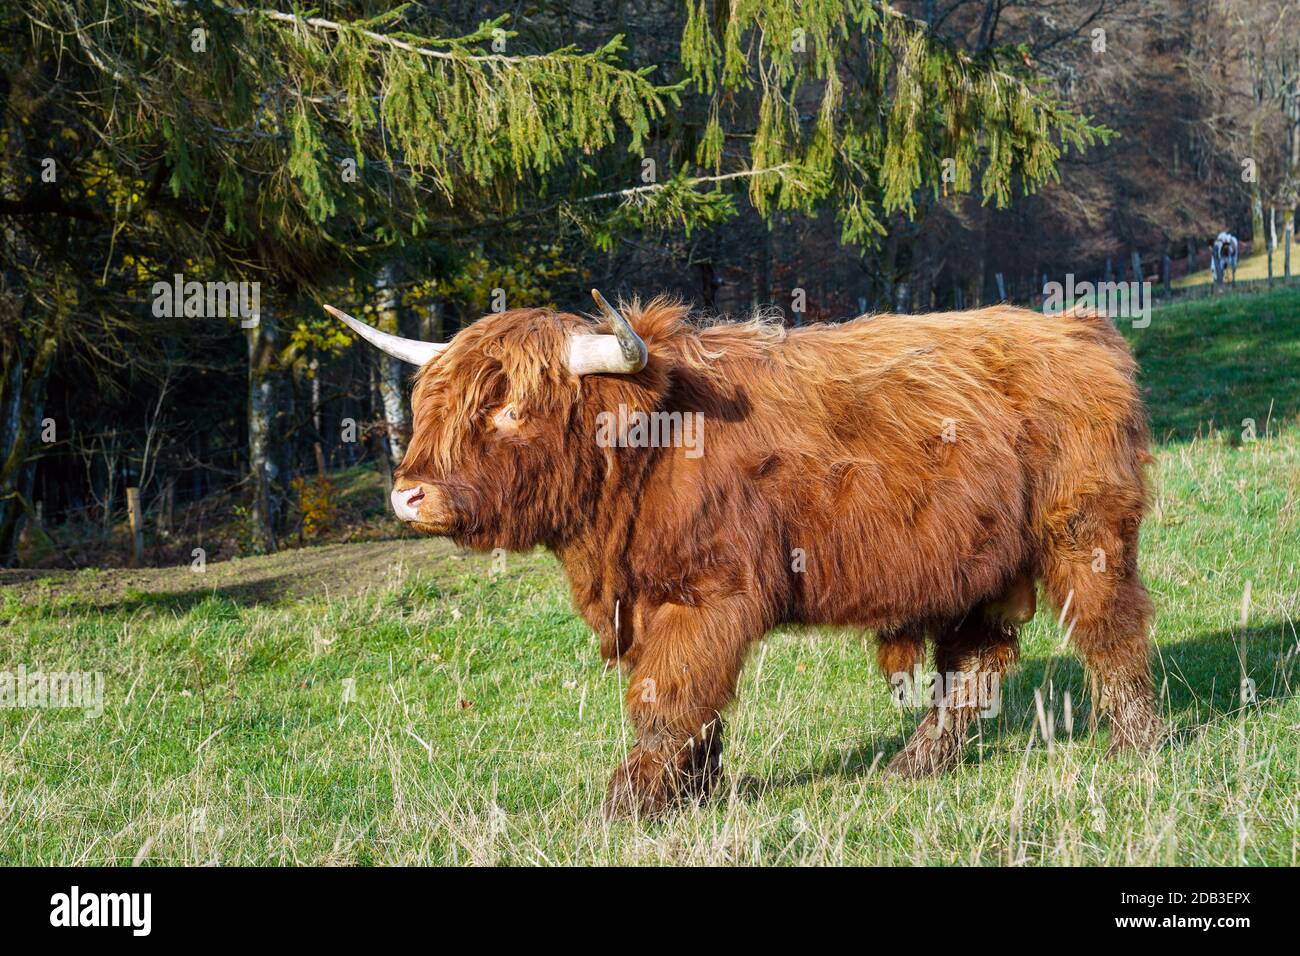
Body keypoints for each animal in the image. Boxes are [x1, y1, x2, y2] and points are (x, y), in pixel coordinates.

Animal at [327, 291, 1162, 818]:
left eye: (510, 410)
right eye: (435, 404)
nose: (409, 496)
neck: (648, 453)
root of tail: (1084, 329)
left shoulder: (708, 596)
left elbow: (667, 699)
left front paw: (626, 805)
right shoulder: (647, 600)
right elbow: (689, 705)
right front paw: (692, 793)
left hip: (1084, 532)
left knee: (1111, 633)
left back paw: (1135, 746)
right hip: (980, 567)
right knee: (973, 664)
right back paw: (913, 765)